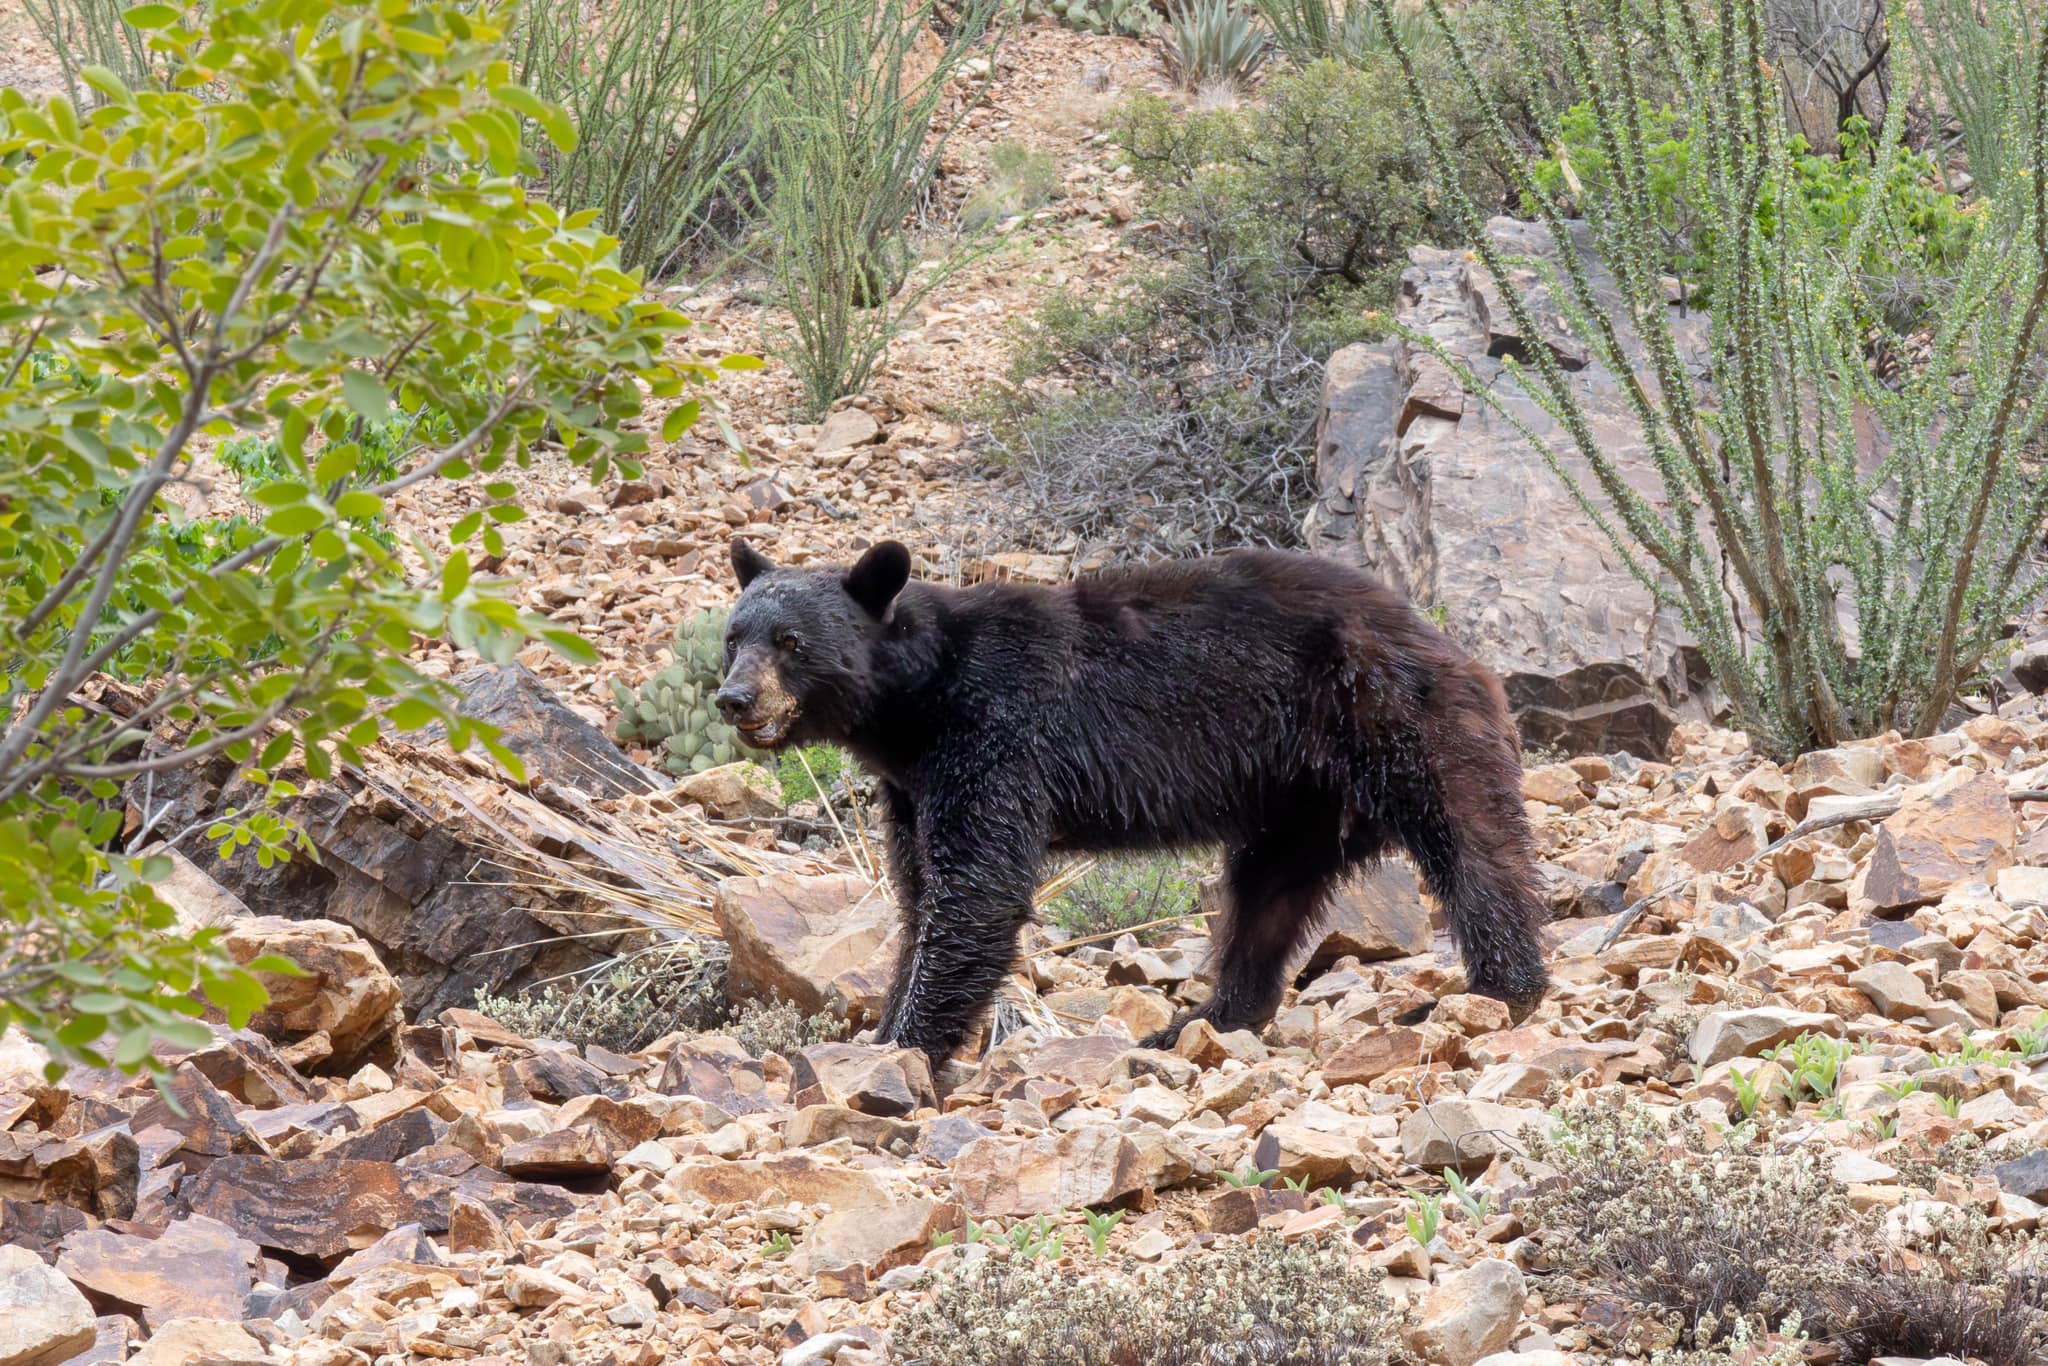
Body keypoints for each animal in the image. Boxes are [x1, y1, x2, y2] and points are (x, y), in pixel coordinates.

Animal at [713, 538, 1550, 1065]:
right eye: (733, 636)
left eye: (790, 642)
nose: (733, 699)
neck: (917, 700)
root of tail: (1444, 639)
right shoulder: (911, 787)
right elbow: (921, 895)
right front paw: (886, 1030)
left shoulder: (994, 739)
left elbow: (977, 890)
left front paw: (904, 1045)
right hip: (1302, 795)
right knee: (1267, 890)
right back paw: (1205, 1018)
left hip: (1396, 721)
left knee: (1471, 847)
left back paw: (1492, 992)